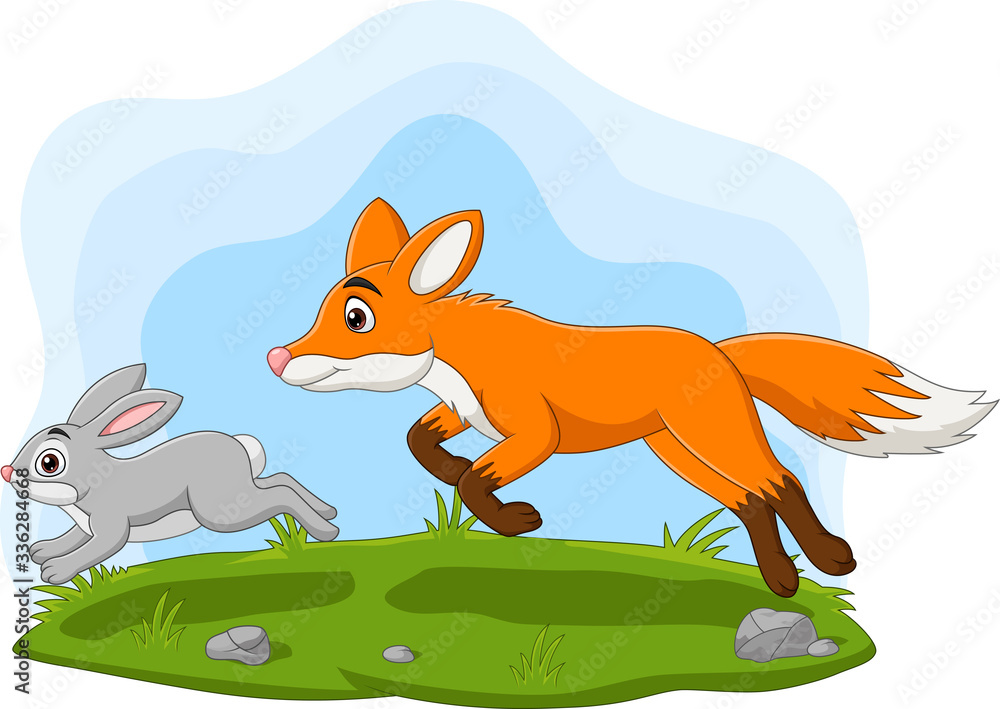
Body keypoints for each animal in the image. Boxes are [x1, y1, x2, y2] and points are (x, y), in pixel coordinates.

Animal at [1, 363, 339, 585]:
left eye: (49, 462)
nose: (7, 472)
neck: (94, 480)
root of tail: (240, 446)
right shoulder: (86, 525)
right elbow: (73, 536)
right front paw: (43, 549)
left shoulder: (110, 526)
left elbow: (98, 548)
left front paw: (55, 570)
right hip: (242, 490)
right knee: (281, 479)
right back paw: (328, 511)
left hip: (218, 510)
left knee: (280, 495)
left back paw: (326, 532)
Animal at [266, 198, 995, 597]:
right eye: (324, 309)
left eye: (356, 317)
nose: (277, 356)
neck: (461, 361)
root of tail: (718, 348)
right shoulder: (465, 413)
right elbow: (420, 441)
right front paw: (451, 472)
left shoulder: (535, 432)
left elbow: (476, 481)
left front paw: (514, 519)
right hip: (674, 449)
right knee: (751, 498)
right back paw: (781, 578)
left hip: (709, 434)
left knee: (780, 479)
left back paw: (826, 560)